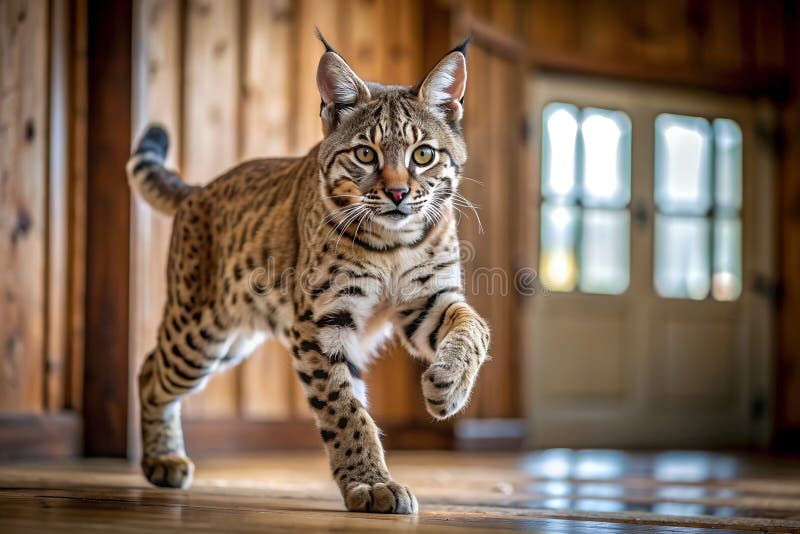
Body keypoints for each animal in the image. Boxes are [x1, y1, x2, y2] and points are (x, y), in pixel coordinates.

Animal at [126, 33, 490, 514]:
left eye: (424, 155)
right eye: (365, 153)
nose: (397, 193)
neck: (394, 242)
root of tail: (201, 189)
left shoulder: (428, 301)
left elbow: (474, 327)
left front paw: (448, 386)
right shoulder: (323, 319)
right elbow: (344, 407)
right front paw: (370, 483)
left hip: (233, 341)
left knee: (154, 364)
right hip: (200, 334)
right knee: (150, 369)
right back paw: (161, 460)